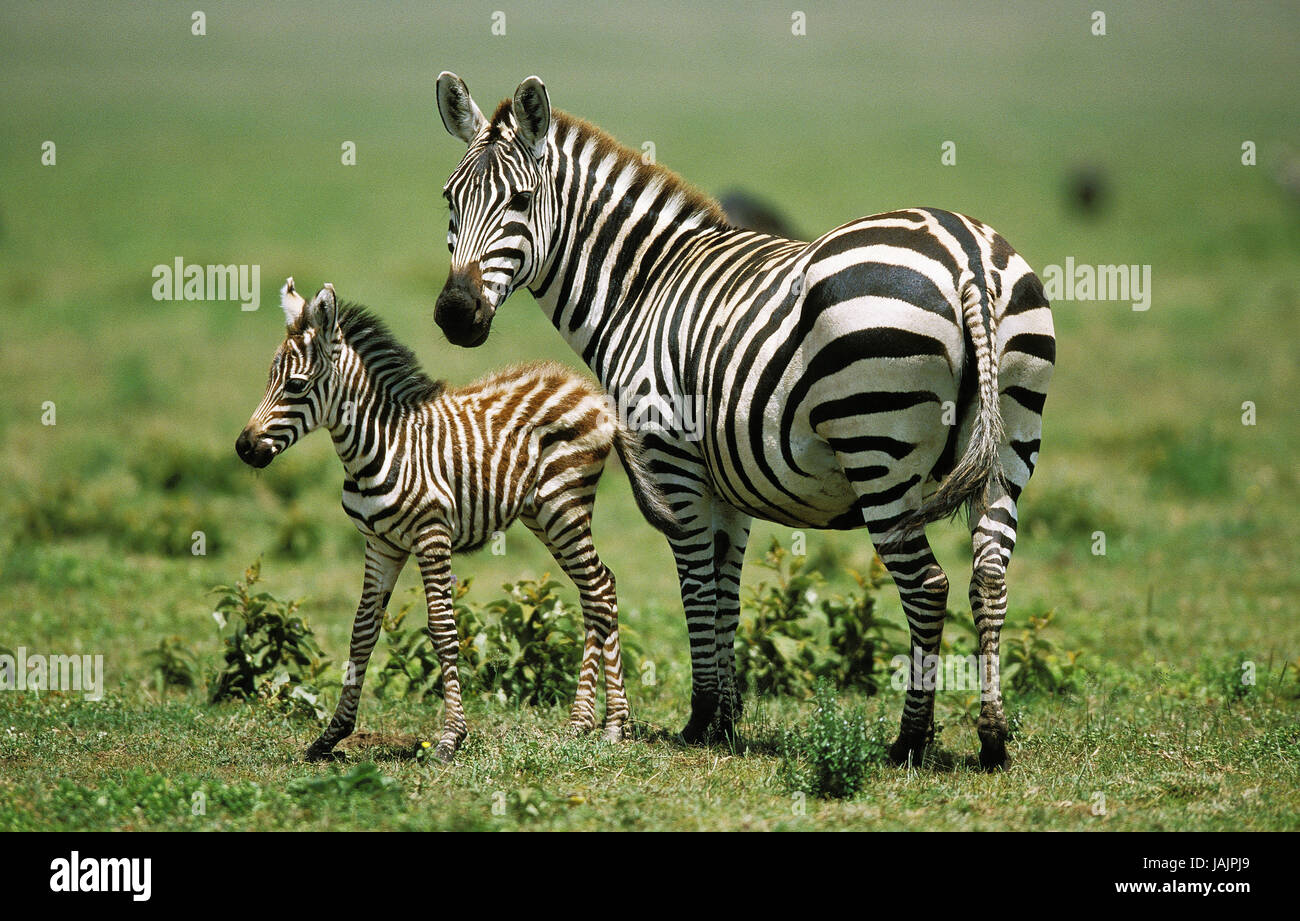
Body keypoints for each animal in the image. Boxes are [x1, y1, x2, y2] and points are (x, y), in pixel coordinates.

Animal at [236, 277, 666, 761]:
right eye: (269, 379)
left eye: (295, 385)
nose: (244, 448)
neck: (378, 444)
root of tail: (592, 392)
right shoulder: (380, 543)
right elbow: (362, 630)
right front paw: (332, 735)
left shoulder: (431, 534)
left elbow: (442, 629)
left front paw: (450, 738)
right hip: (541, 513)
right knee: (598, 588)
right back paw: (593, 723)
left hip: (564, 504)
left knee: (599, 590)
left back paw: (604, 725)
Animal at [432, 73, 1056, 770]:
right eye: (449, 199)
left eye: (519, 200)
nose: (454, 315)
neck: (643, 287)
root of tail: (967, 254)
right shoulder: (729, 482)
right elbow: (727, 591)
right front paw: (727, 719)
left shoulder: (672, 459)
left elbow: (696, 586)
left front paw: (702, 718)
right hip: (1011, 444)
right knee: (989, 577)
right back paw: (993, 738)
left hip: (878, 449)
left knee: (926, 585)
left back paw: (909, 741)